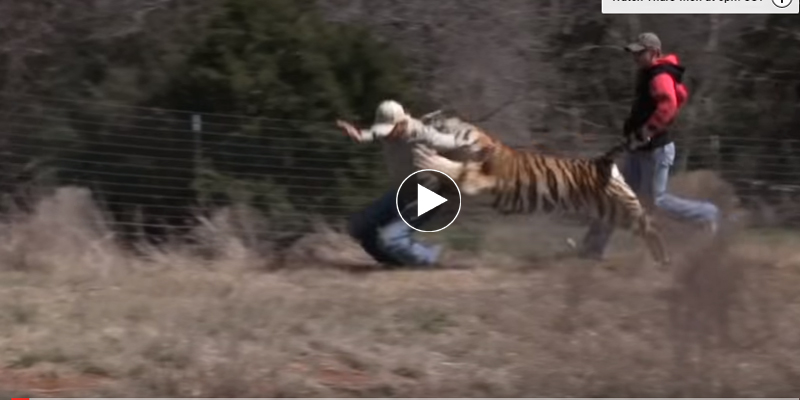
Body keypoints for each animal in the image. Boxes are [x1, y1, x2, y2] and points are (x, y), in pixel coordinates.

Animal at [389, 117, 670, 265]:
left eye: (444, 122)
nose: (428, 120)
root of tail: (603, 162)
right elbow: (447, 174)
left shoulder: (478, 177)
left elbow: (457, 169)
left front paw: (426, 157)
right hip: (610, 210)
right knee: (644, 224)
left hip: (621, 208)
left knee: (650, 225)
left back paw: (662, 260)